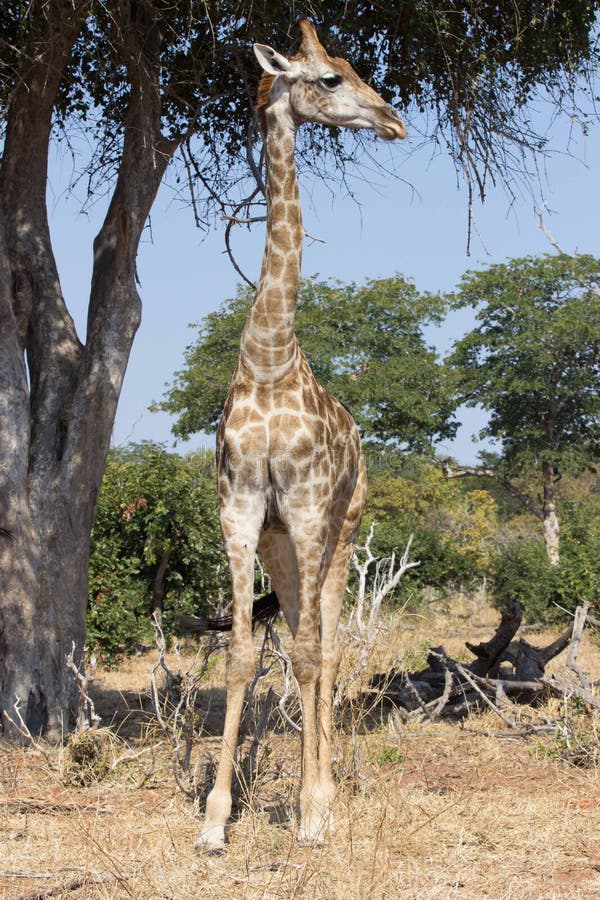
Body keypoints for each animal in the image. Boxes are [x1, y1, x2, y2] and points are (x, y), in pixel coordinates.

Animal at [197, 18, 405, 850]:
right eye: (328, 78)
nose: (392, 119)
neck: (268, 357)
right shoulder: (242, 509)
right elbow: (243, 653)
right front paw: (215, 819)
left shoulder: (314, 506)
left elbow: (315, 653)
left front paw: (314, 812)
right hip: (285, 546)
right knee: (296, 634)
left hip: (342, 531)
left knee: (329, 640)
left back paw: (328, 793)